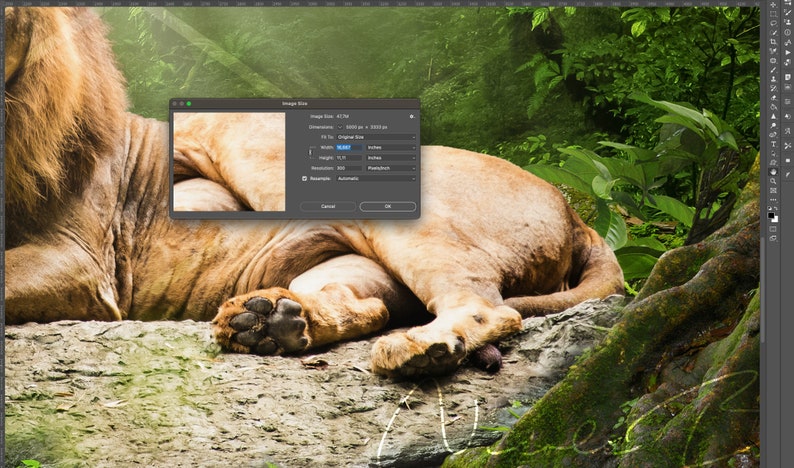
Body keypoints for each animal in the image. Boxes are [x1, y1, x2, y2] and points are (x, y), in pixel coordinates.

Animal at [4, 7, 624, 377]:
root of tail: (576, 212)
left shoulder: (82, 262)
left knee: (489, 307)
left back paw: (418, 349)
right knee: (370, 303)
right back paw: (266, 322)